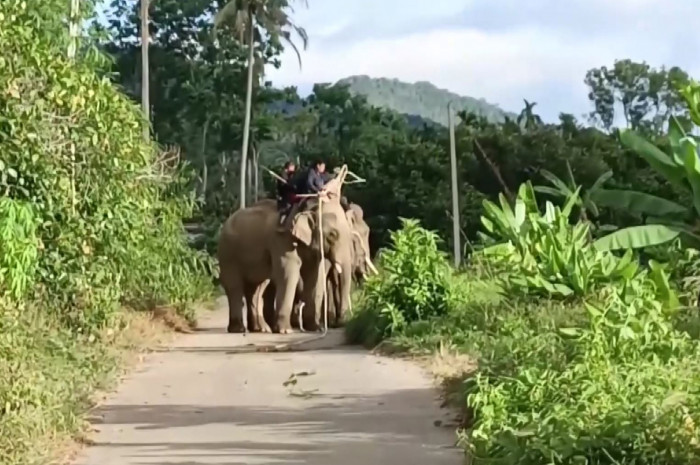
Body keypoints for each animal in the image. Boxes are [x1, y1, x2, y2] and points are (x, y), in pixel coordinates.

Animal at [217, 179, 354, 333]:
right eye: (332, 235)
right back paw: (239, 329)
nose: (340, 323)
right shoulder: (282, 242)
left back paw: (261, 329)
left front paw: (315, 328)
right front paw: (285, 331)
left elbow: (314, 276)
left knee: (256, 288)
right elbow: (289, 275)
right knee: (235, 286)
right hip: (227, 254)